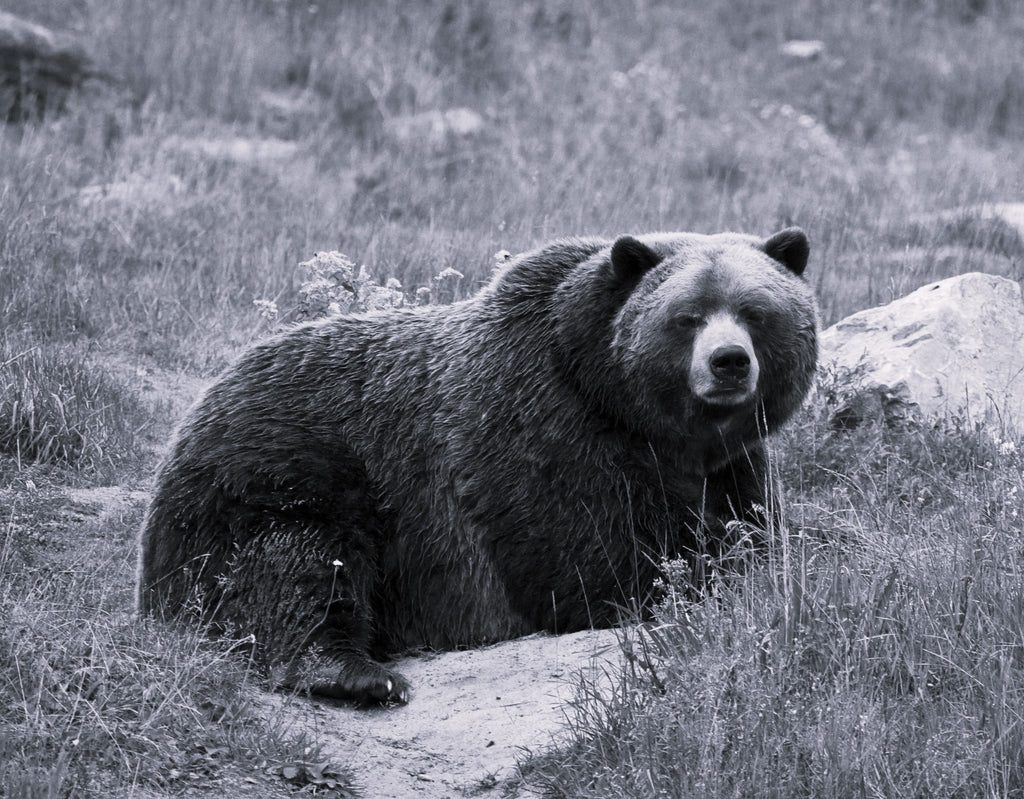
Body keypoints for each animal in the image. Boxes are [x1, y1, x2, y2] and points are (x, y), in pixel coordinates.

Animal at [136, 227, 818, 705]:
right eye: (687, 317)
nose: (729, 362)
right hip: (277, 474)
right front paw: (677, 582)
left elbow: (753, 535)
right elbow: (585, 560)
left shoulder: (731, 467)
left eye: (756, 311)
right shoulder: (539, 427)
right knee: (297, 569)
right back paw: (362, 675)